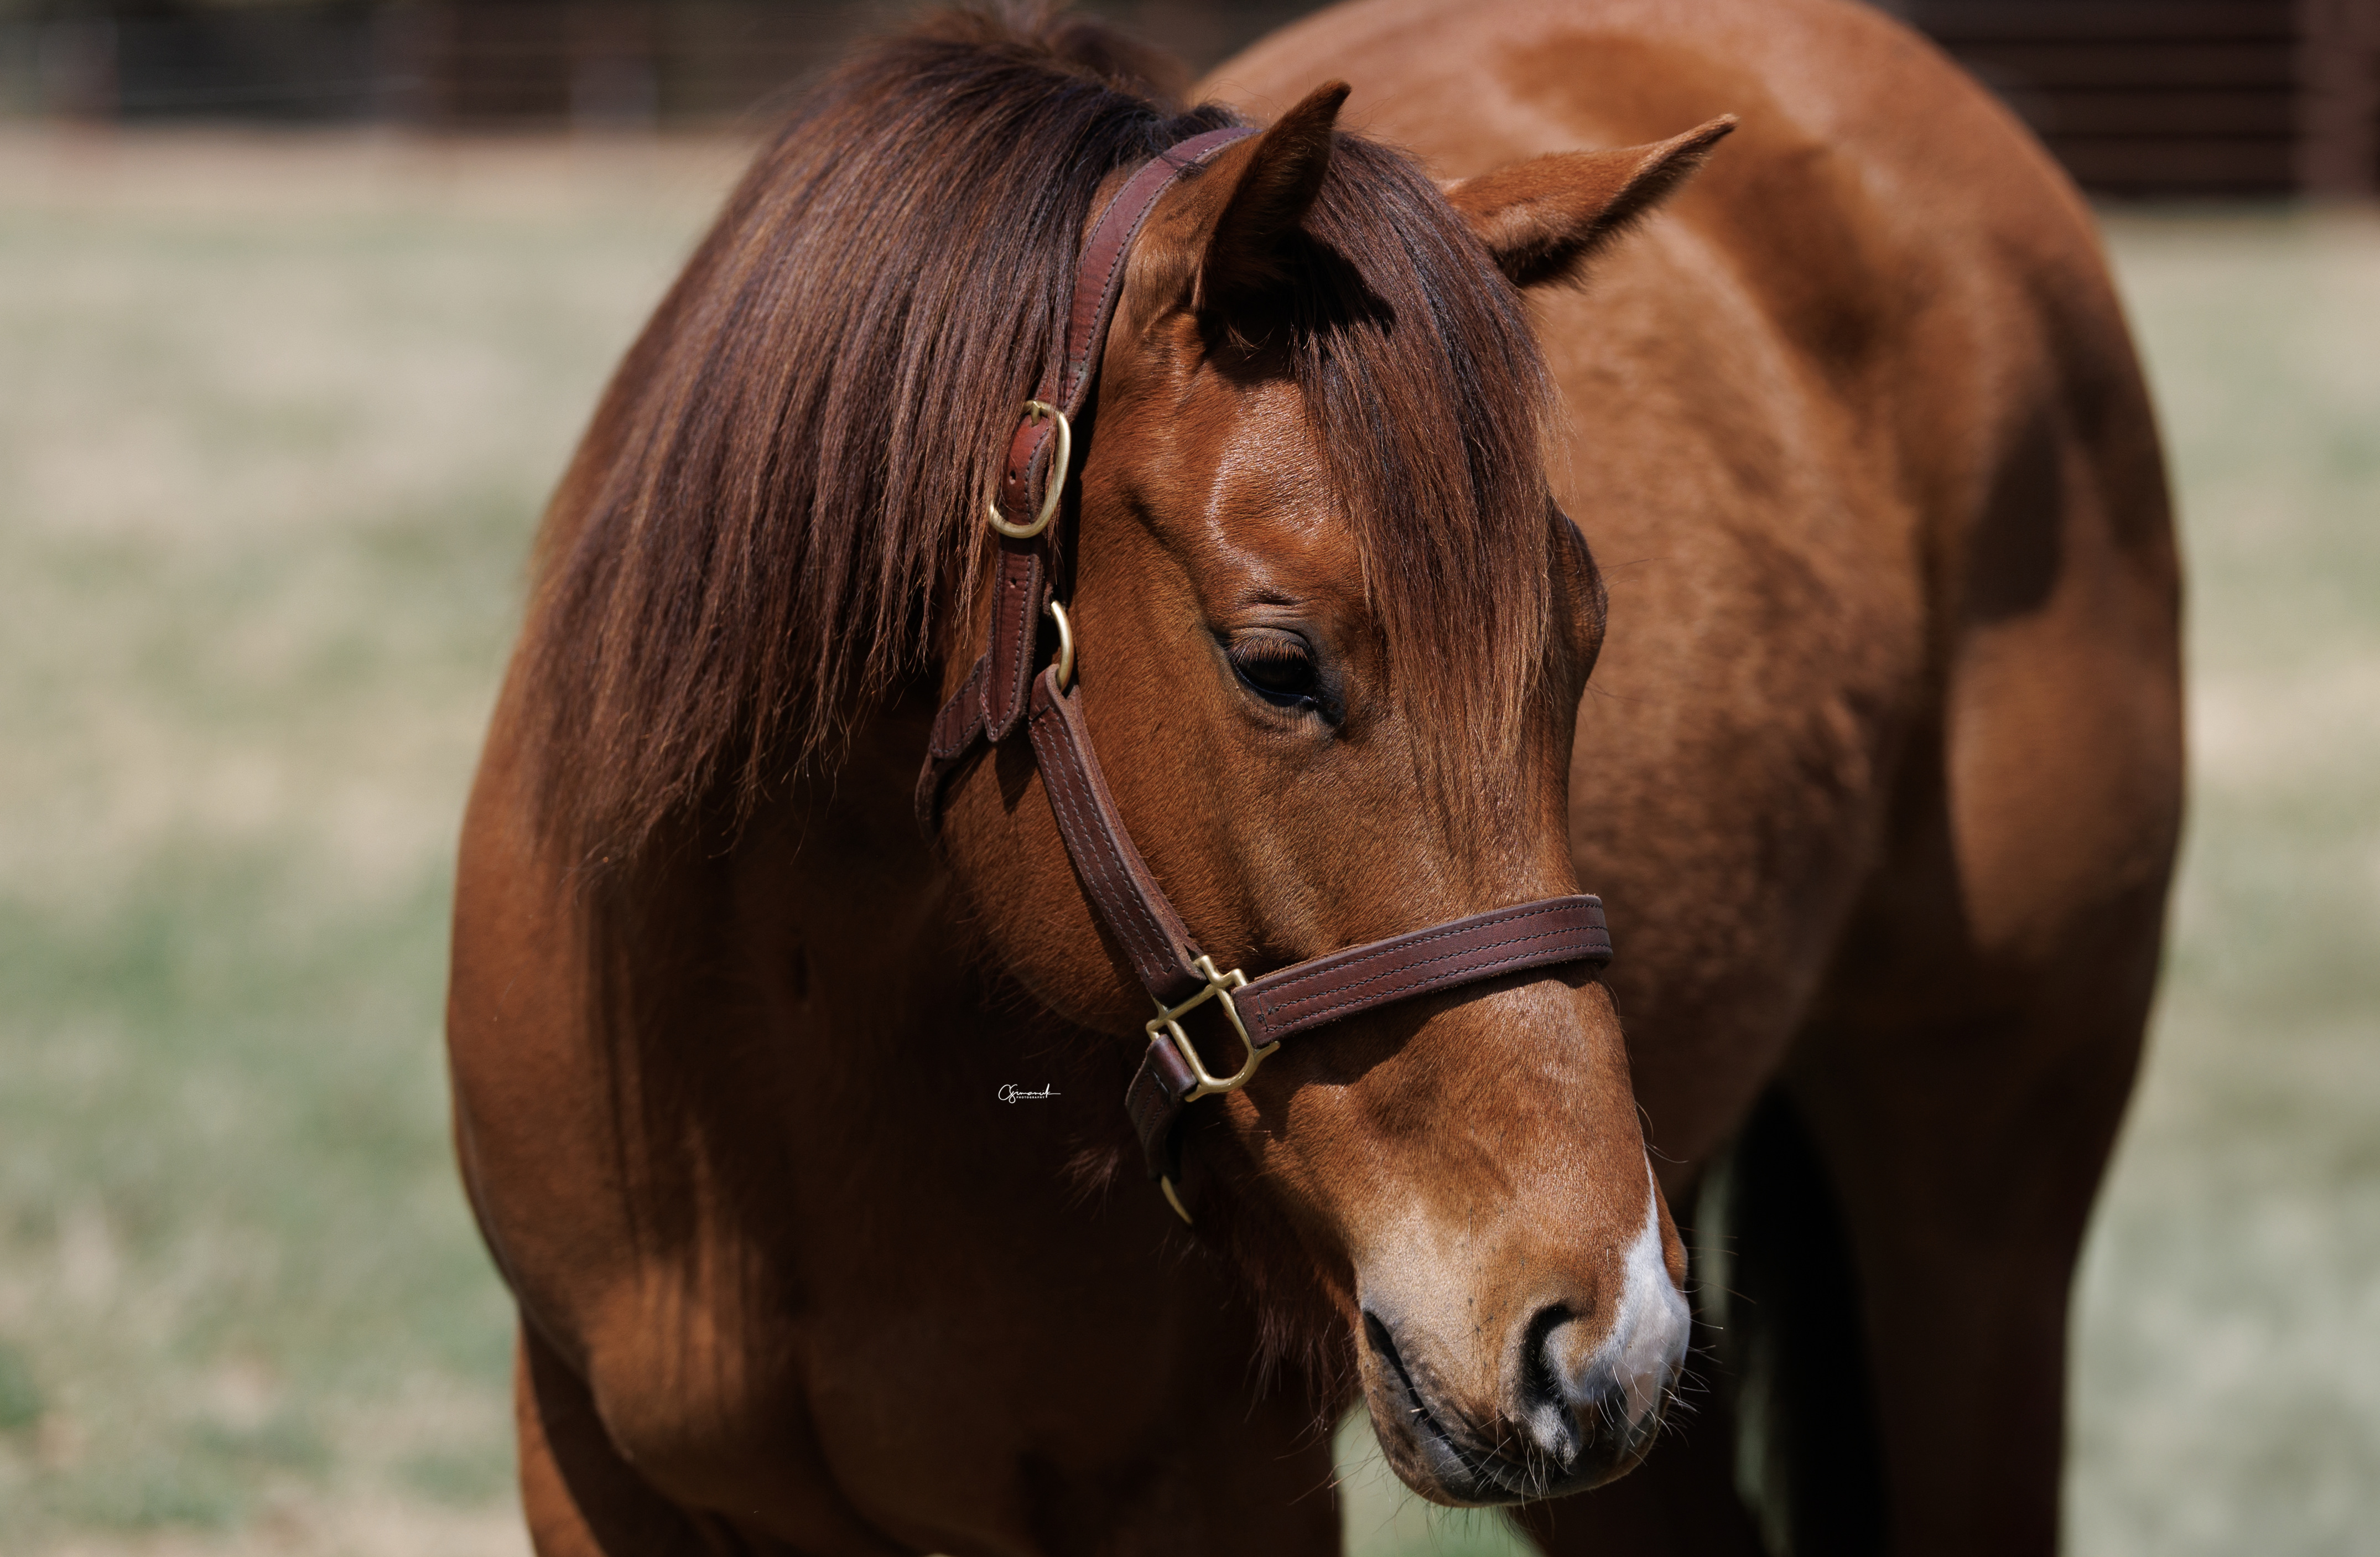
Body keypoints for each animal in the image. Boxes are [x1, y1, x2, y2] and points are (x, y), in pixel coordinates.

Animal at [446, 0, 2182, 1550]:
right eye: (1276, 664)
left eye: (1583, 638)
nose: (1603, 1325)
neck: (771, 1102)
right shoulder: (589, 1470)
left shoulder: (1215, 1489)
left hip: (1978, 1195)